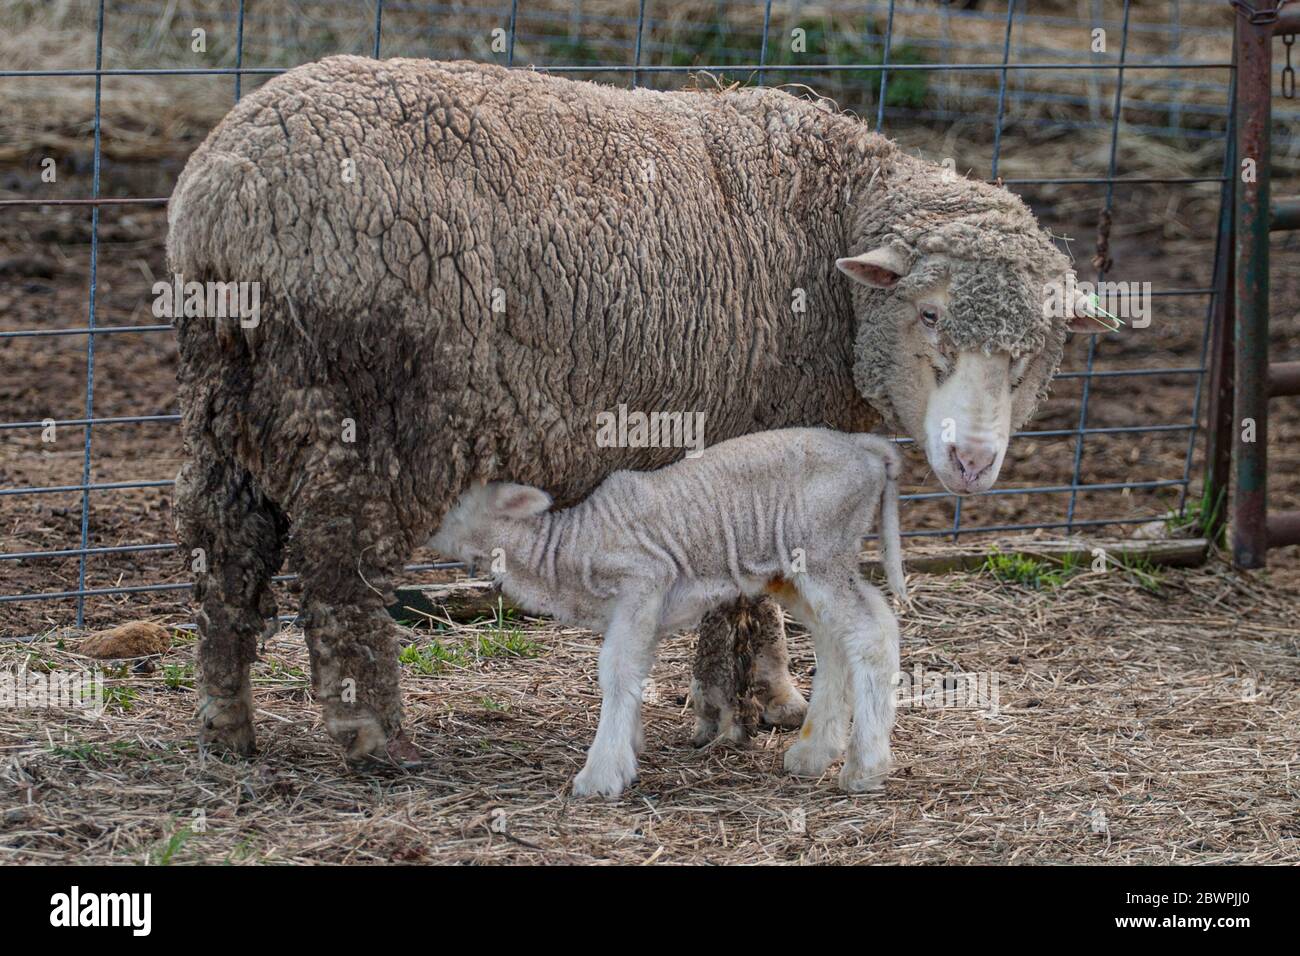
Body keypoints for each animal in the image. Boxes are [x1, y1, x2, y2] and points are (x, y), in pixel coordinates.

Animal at [430, 427, 907, 798]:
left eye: (453, 496)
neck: (566, 548)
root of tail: (865, 446)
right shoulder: (639, 607)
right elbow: (636, 667)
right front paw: (629, 746)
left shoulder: (643, 581)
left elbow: (617, 668)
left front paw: (601, 774)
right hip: (794, 570)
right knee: (839, 637)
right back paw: (813, 752)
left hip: (824, 549)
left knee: (871, 634)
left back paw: (864, 766)